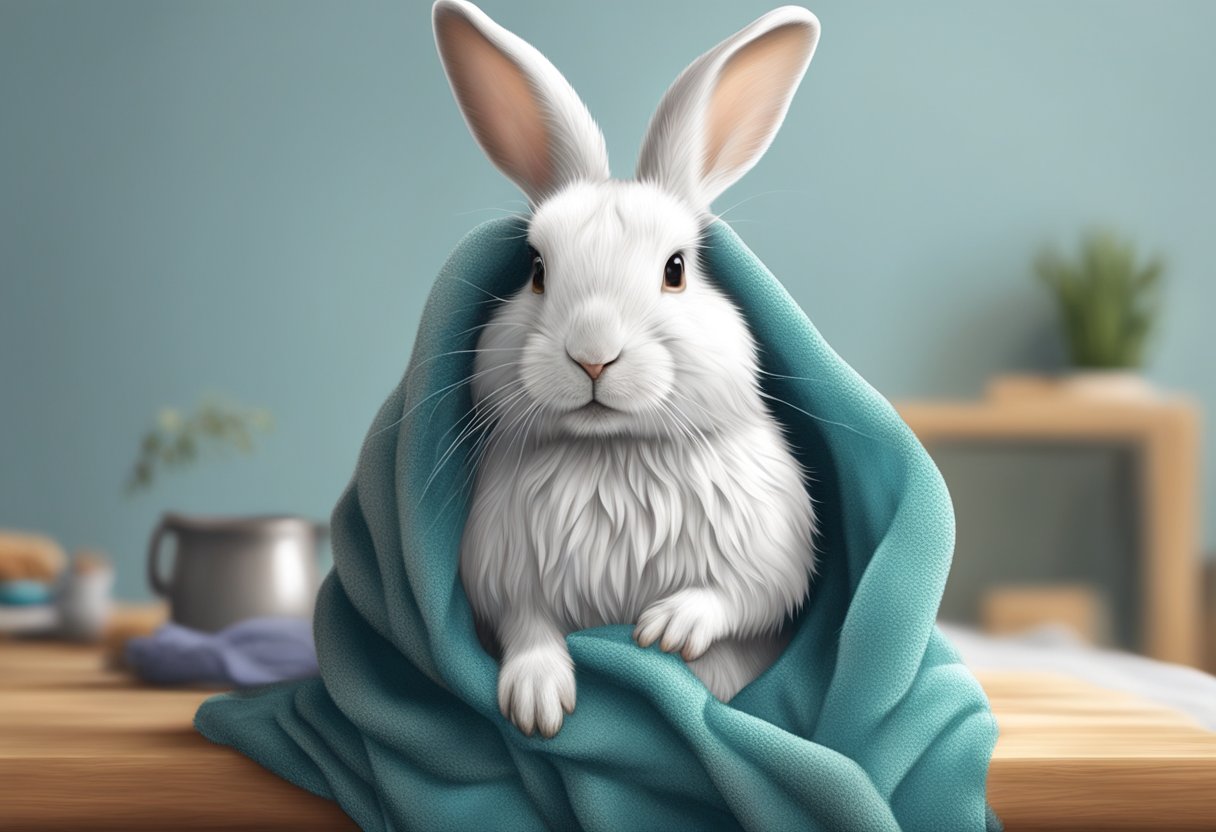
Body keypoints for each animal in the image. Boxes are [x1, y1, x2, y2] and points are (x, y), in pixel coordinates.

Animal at [433, 0, 820, 738]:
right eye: (536, 269)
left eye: (676, 269)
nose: (593, 354)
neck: (611, 453)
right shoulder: (503, 574)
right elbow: (527, 626)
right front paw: (536, 704)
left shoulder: (772, 549)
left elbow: (742, 595)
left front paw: (667, 631)